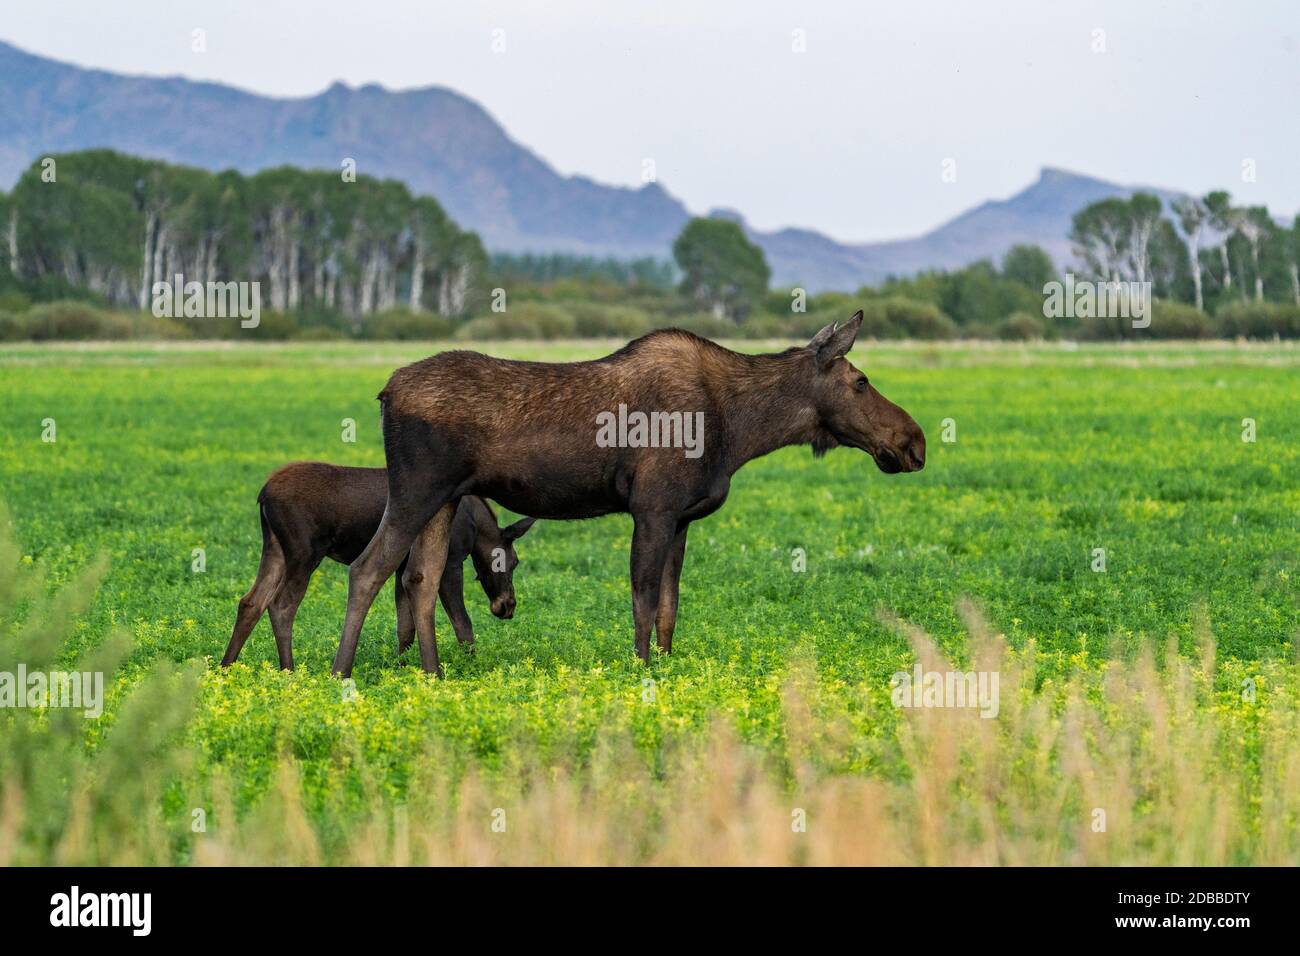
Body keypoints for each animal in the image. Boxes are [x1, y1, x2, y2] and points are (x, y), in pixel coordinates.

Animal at [220, 461, 534, 670]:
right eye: (514, 561)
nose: (508, 606)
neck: (477, 525)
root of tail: (263, 496)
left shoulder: (401, 569)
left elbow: (405, 626)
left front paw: (402, 667)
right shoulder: (452, 561)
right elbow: (463, 623)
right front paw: (470, 665)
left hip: (275, 548)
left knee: (251, 601)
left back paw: (226, 666)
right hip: (304, 552)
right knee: (281, 604)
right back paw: (289, 669)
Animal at [331, 311, 925, 678]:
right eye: (862, 381)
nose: (914, 442)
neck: (741, 431)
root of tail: (384, 392)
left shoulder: (683, 517)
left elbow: (669, 608)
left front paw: (663, 662)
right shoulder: (653, 507)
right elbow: (642, 600)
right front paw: (641, 672)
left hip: (446, 498)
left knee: (421, 578)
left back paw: (432, 675)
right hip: (416, 489)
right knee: (368, 568)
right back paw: (340, 672)